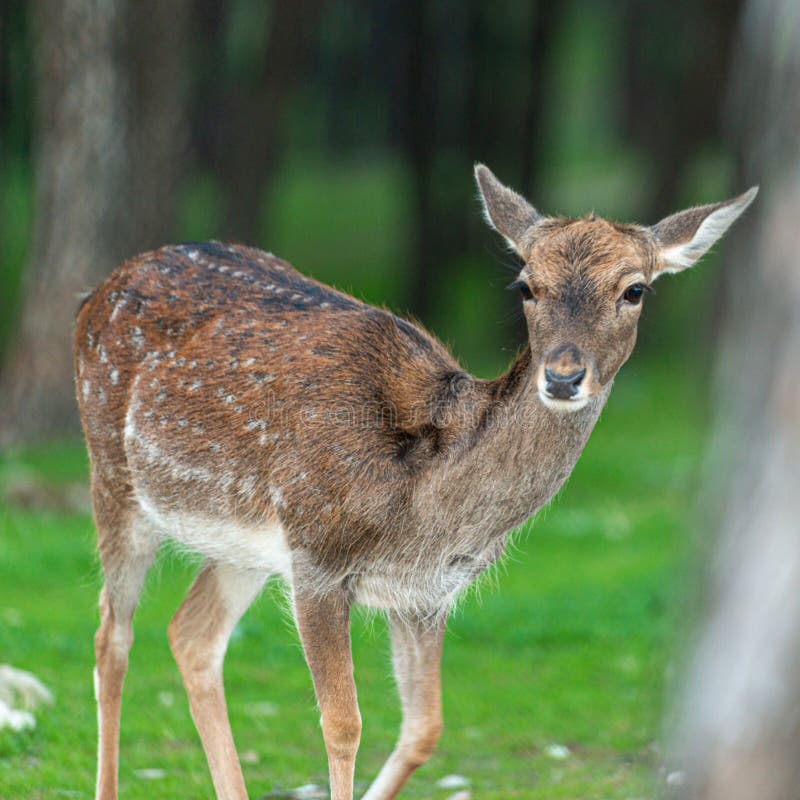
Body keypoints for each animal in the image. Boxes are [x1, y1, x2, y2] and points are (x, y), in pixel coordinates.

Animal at [74, 164, 756, 800]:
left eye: (635, 289)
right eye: (525, 285)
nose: (563, 375)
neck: (428, 507)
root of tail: (95, 292)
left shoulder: (426, 592)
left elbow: (425, 728)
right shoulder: (318, 560)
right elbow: (342, 724)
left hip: (242, 546)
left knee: (191, 636)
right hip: (112, 474)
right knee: (112, 638)